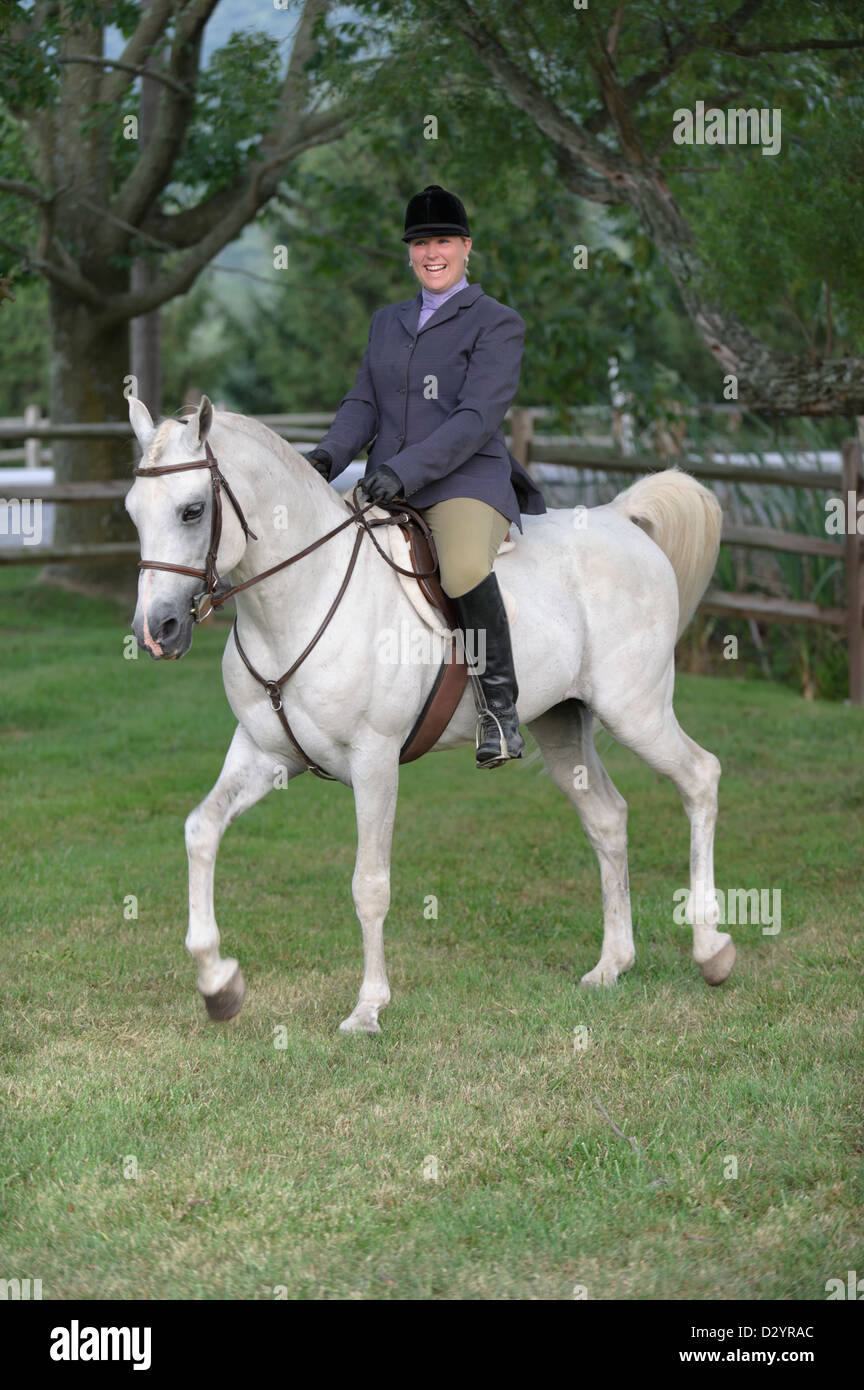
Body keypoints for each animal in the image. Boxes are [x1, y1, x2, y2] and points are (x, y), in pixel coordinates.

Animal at [125, 394, 734, 1033]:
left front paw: (368, 1007)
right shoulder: (263, 753)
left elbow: (369, 884)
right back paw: (612, 965)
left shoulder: (374, 759)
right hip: (562, 723)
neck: (302, 597)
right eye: (133, 513)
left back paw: (711, 949)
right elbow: (201, 830)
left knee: (700, 777)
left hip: (636, 711)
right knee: (608, 818)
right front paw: (218, 983)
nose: (156, 631)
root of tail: (617, 518)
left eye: (193, 511)